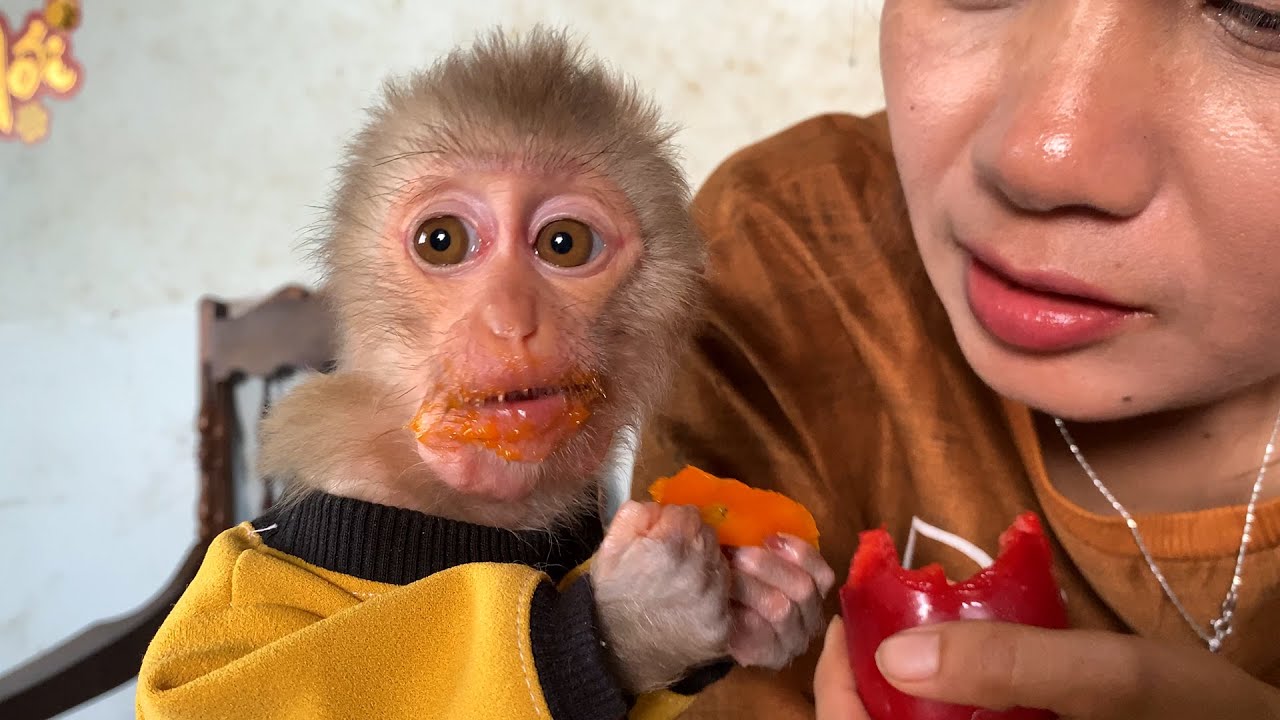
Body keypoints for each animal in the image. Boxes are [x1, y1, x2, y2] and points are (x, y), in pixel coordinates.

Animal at [136, 26, 834, 720]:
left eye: (564, 243)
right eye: (442, 239)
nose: (511, 321)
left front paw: (767, 595)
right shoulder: (248, 574)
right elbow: (224, 682)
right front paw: (644, 617)